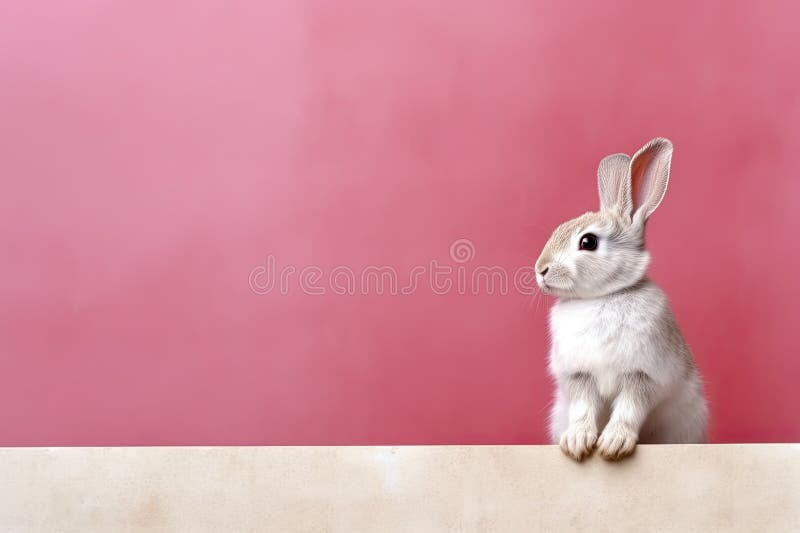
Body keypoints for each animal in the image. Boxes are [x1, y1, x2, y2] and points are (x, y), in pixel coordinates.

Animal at [534, 138, 707, 461]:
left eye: (588, 242)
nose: (541, 270)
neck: (604, 295)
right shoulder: (580, 377)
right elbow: (582, 410)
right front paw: (577, 442)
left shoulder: (642, 376)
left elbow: (629, 409)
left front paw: (613, 445)